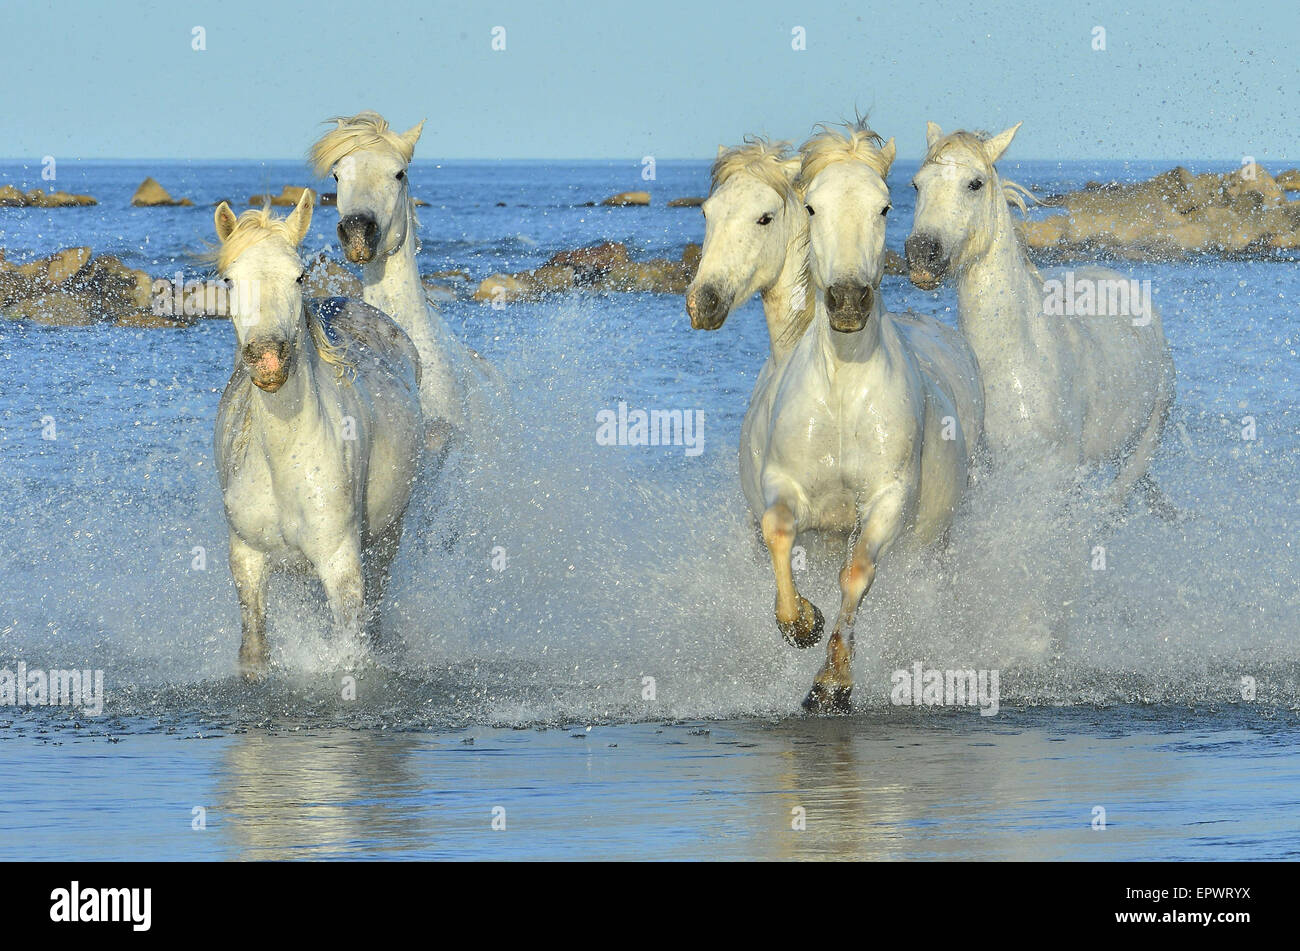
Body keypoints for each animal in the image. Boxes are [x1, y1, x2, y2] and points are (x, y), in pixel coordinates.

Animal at [212, 190, 423, 679]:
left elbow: (349, 648)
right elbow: (255, 650)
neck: (285, 458)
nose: (269, 359)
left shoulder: (340, 561)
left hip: (390, 534)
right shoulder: (247, 558)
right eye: (229, 279)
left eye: (299, 275)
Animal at [745, 123, 984, 713]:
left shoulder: (887, 499)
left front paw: (831, 684)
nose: (849, 300)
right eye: (811, 206)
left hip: (934, 541)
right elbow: (777, 532)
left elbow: (855, 573)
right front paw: (801, 622)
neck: (843, 394)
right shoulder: (785, 484)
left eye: (884, 206)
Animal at [904, 122, 1176, 511]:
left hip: (1144, 444)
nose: (922, 254)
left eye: (975, 183)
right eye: (916, 183)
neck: (1015, 363)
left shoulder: (1053, 477)